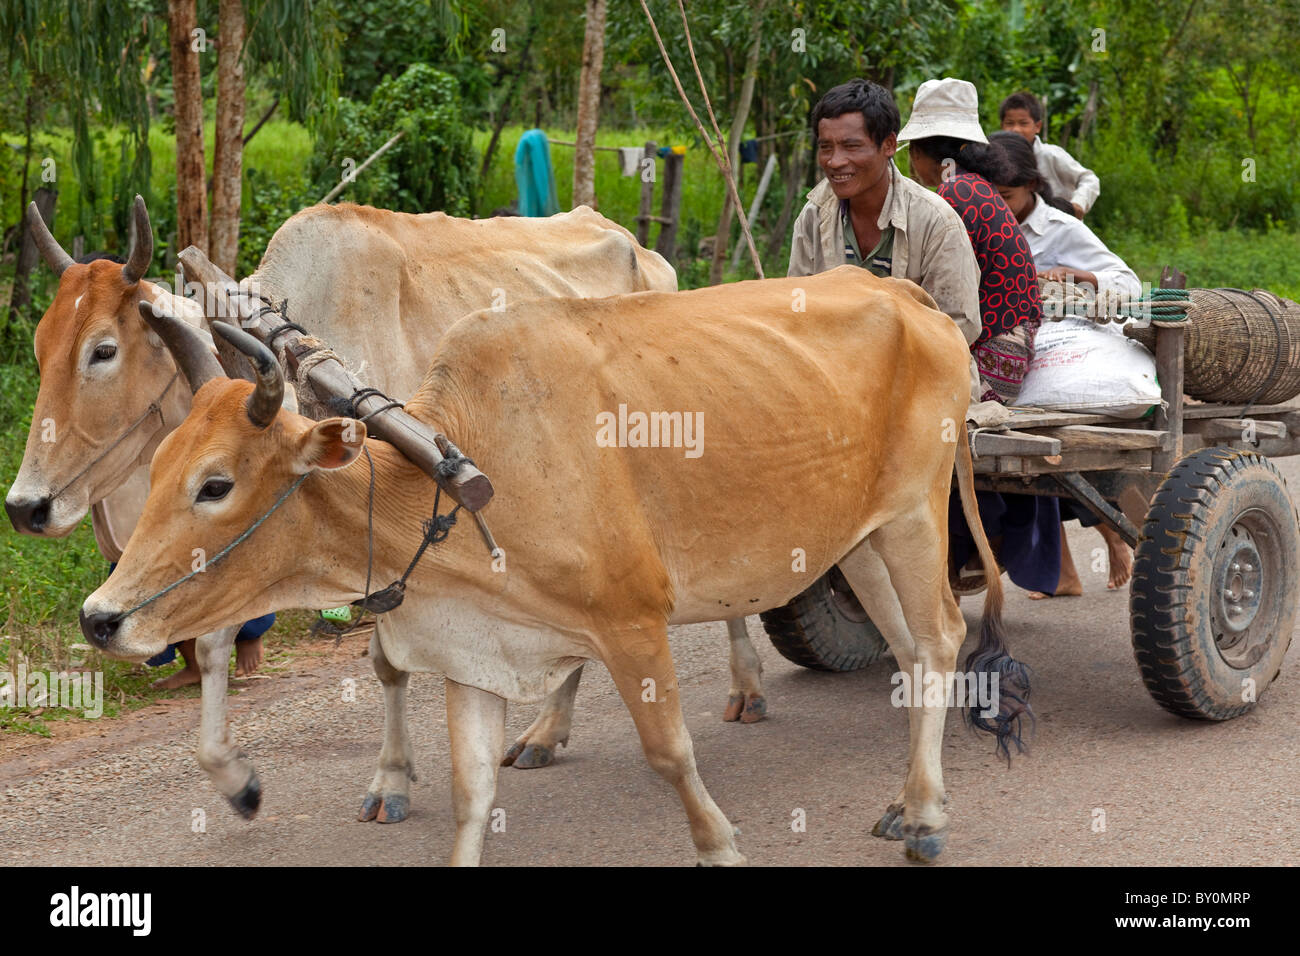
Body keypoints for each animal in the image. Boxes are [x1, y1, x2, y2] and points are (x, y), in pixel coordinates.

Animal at [5, 197, 767, 823]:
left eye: (102, 351)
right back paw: (547, 733)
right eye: (39, 349)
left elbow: (388, 663)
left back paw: (747, 686)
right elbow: (217, 645)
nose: (25, 507)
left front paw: (391, 781)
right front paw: (235, 779)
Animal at [80, 266, 1031, 864]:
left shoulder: (633, 623)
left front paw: (721, 847)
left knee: (941, 638)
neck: (463, 469)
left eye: (215, 485)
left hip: (914, 516)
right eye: (156, 471)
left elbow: (671, 756)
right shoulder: (474, 652)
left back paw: (928, 817)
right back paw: (904, 801)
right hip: (856, 537)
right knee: (906, 651)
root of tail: (898, 290)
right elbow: (470, 795)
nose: (99, 617)